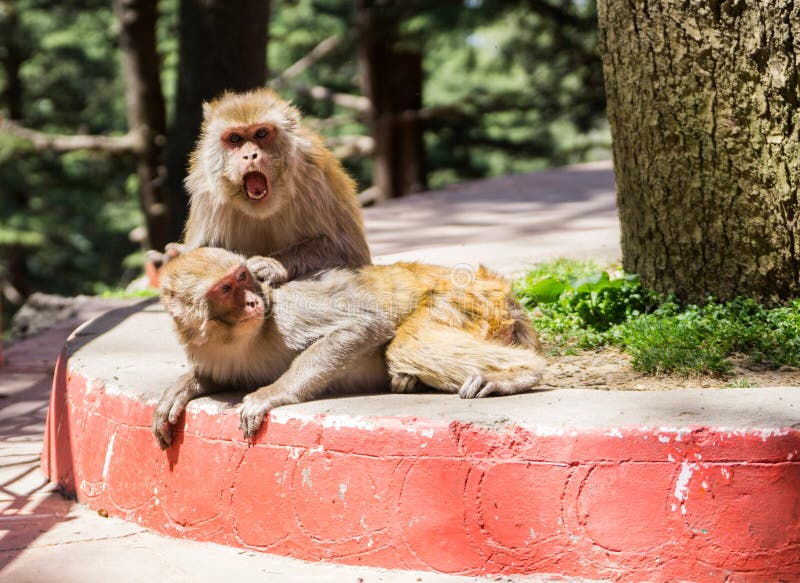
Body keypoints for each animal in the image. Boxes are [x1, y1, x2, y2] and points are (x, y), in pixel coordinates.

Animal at [151, 247, 545, 448]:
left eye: (243, 276)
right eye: (224, 288)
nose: (252, 302)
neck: (239, 337)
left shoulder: (286, 314)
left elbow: (364, 325)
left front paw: (271, 394)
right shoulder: (211, 350)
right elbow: (216, 376)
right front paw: (178, 391)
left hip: (469, 298)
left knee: (404, 344)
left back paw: (519, 374)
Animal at [156, 88, 371, 284]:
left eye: (261, 133)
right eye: (235, 138)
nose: (250, 155)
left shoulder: (313, 178)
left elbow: (346, 250)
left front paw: (270, 264)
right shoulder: (207, 194)